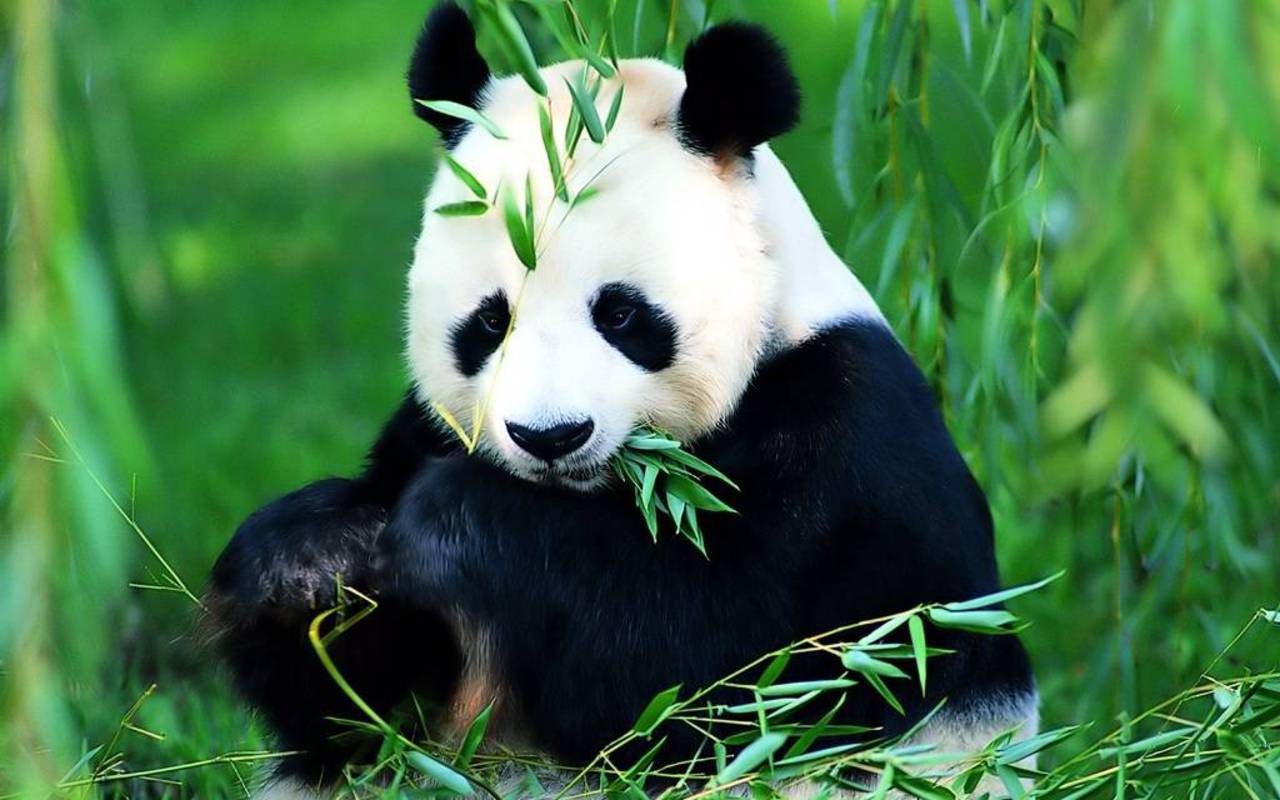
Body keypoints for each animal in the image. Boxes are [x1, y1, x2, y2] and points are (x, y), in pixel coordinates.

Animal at [206, 4, 1038, 798]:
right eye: (490, 322)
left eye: (621, 315)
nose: (550, 437)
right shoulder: (426, 429)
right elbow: (358, 712)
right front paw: (308, 558)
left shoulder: (850, 446)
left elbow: (721, 670)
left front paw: (454, 521)